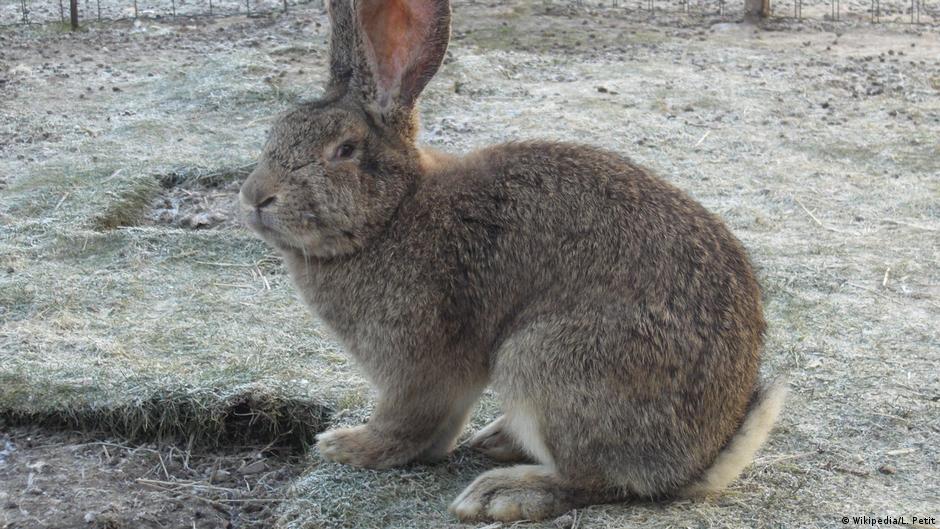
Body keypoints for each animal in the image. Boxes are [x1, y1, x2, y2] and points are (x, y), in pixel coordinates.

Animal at [238, 0, 786, 522]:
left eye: (344, 150)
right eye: (275, 132)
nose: (253, 196)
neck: (392, 213)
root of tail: (700, 461)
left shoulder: (415, 362)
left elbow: (405, 422)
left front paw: (349, 446)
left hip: (544, 362)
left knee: (599, 480)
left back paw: (502, 494)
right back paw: (498, 441)